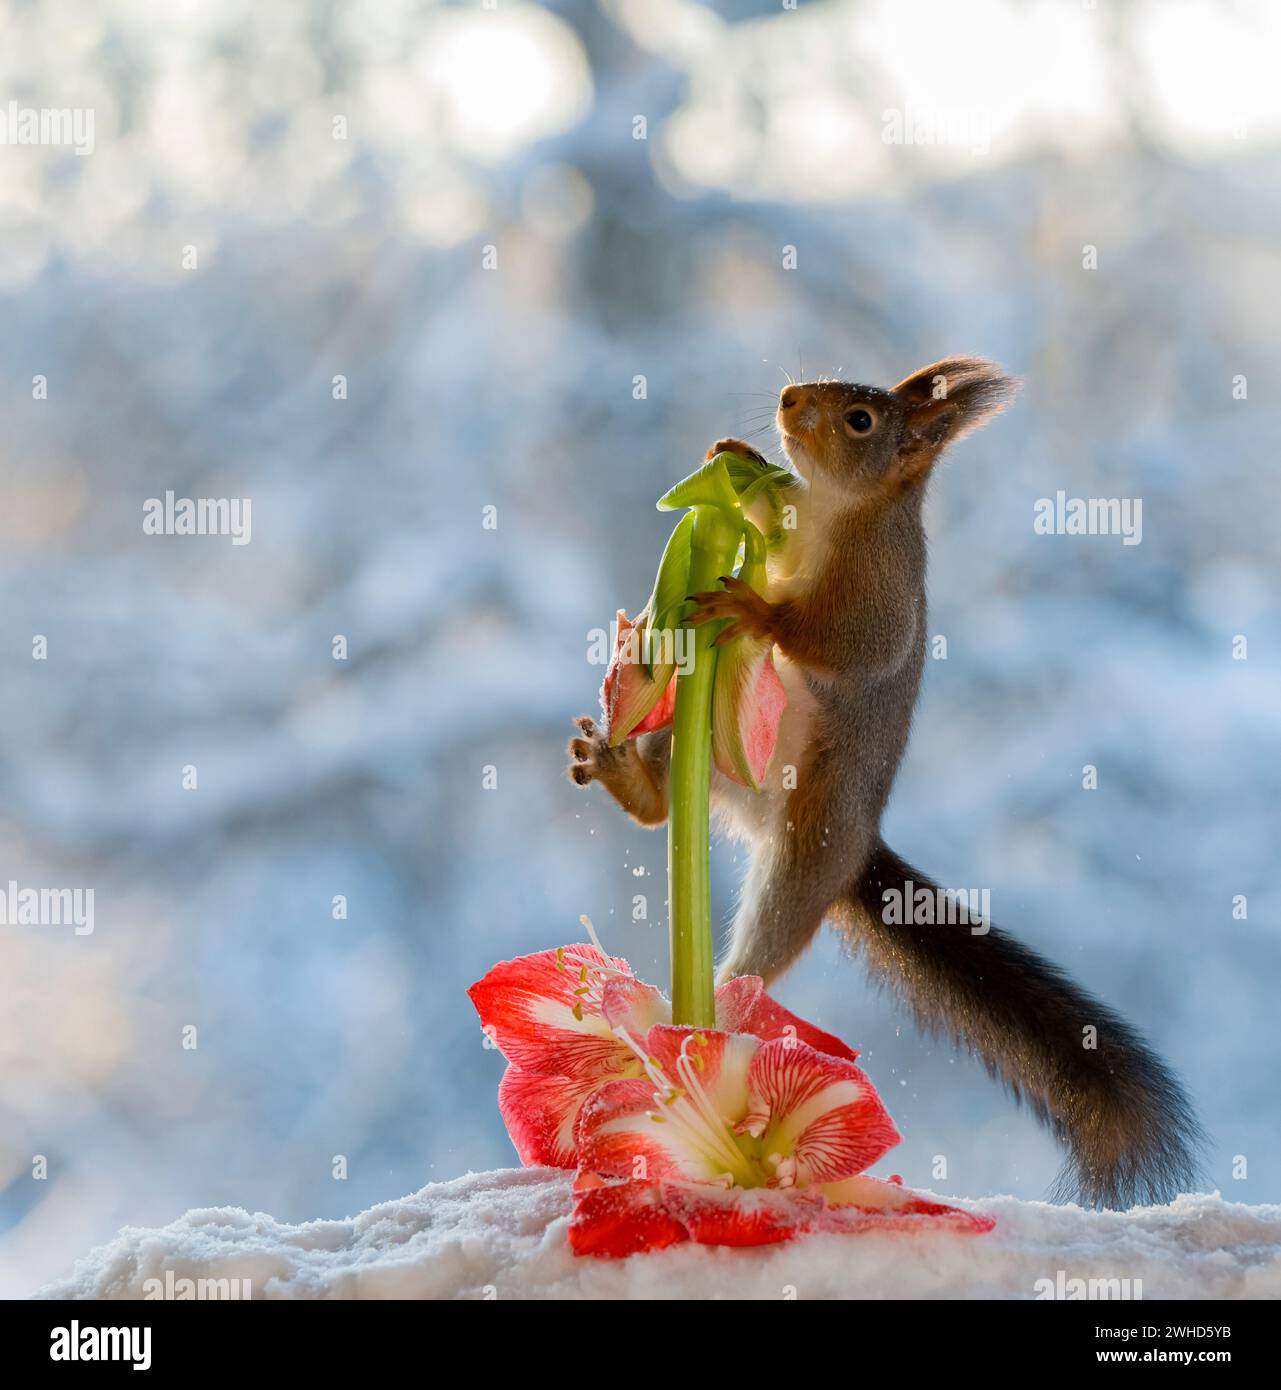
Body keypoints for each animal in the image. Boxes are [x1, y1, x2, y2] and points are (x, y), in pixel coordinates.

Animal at [568, 358, 1202, 1209]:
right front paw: (735, 456)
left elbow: (841, 642)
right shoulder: (788, 531)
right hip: (702, 740)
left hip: (809, 845)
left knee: (769, 939)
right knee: (662, 800)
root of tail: (853, 845)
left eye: (861, 421)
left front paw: (751, 607)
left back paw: (712, 1007)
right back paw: (630, 782)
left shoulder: (877, 586)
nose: (787, 400)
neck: (836, 507)